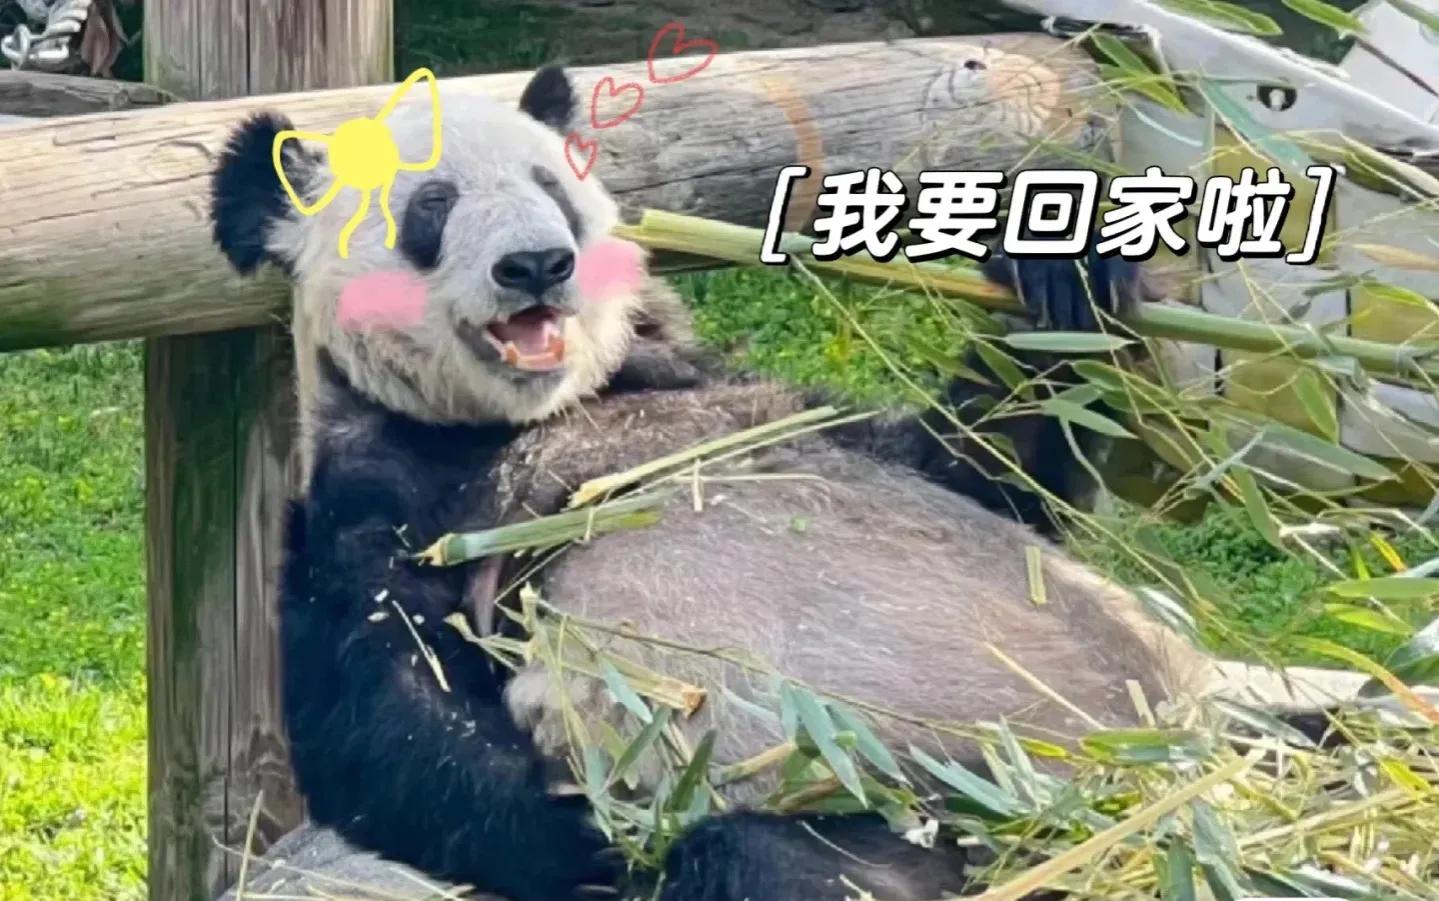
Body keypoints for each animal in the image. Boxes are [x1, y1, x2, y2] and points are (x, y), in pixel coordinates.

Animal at [208, 65, 1367, 901]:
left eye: (552, 192)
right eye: (431, 207)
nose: (536, 265)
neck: (540, 411)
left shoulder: (741, 392)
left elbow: (981, 471)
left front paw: (1061, 269)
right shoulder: (390, 499)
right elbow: (394, 729)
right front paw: (598, 838)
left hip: (1242, 706)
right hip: (911, 824)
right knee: (779, 866)